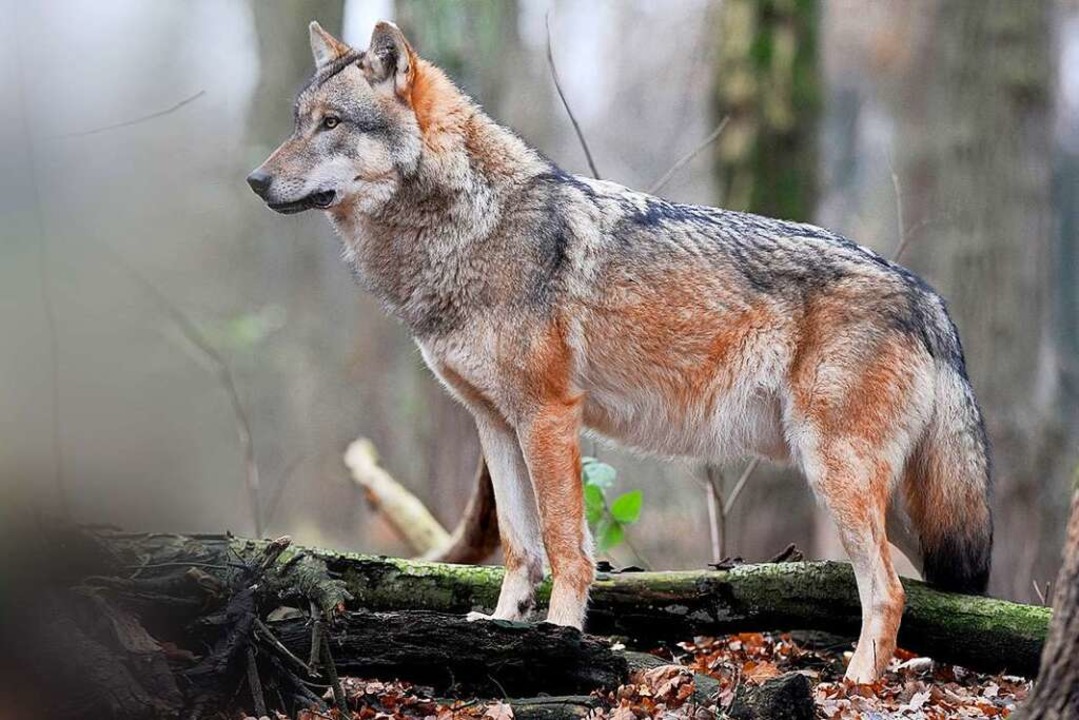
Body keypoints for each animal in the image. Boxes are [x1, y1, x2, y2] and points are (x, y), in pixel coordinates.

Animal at [247, 21, 993, 683]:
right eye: (298, 121)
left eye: (331, 124)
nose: (254, 180)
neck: (470, 227)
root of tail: (929, 295)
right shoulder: (495, 423)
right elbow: (518, 548)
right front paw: (502, 631)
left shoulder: (549, 415)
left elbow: (565, 546)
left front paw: (559, 640)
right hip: (891, 499)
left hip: (838, 473)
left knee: (888, 591)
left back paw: (856, 685)